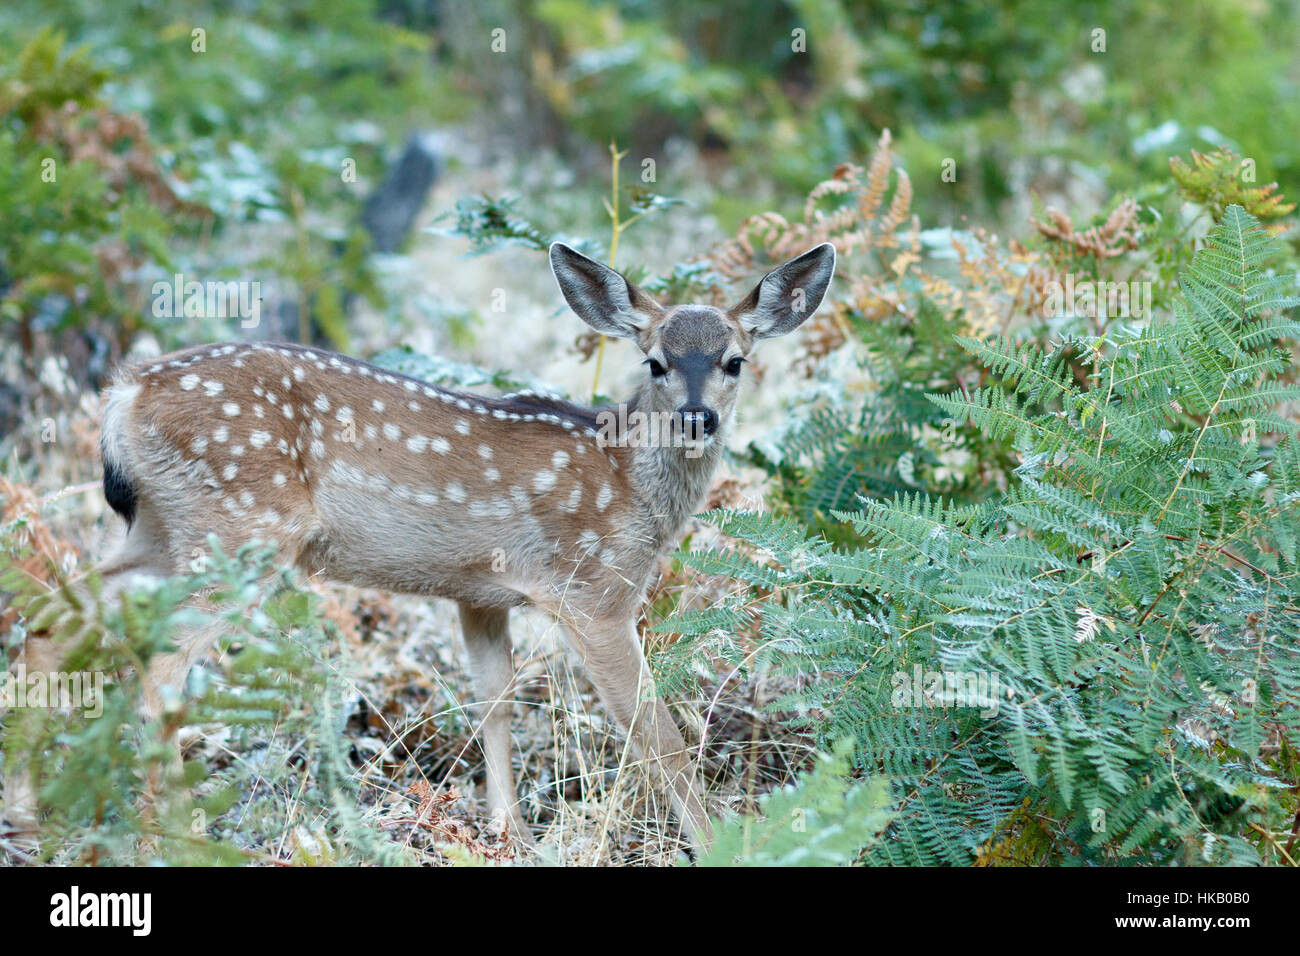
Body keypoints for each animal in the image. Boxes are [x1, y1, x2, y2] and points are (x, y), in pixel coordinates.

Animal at [4, 240, 836, 852]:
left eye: (734, 361)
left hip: (162, 527)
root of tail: (124, 394)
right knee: (160, 665)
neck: (626, 482)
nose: (698, 418)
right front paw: (721, 842)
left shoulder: (481, 593)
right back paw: (171, 832)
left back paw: (28, 809)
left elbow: (494, 701)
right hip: (239, 526)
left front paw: (509, 832)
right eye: (655, 361)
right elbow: (657, 735)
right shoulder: (594, 592)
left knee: (52, 622)